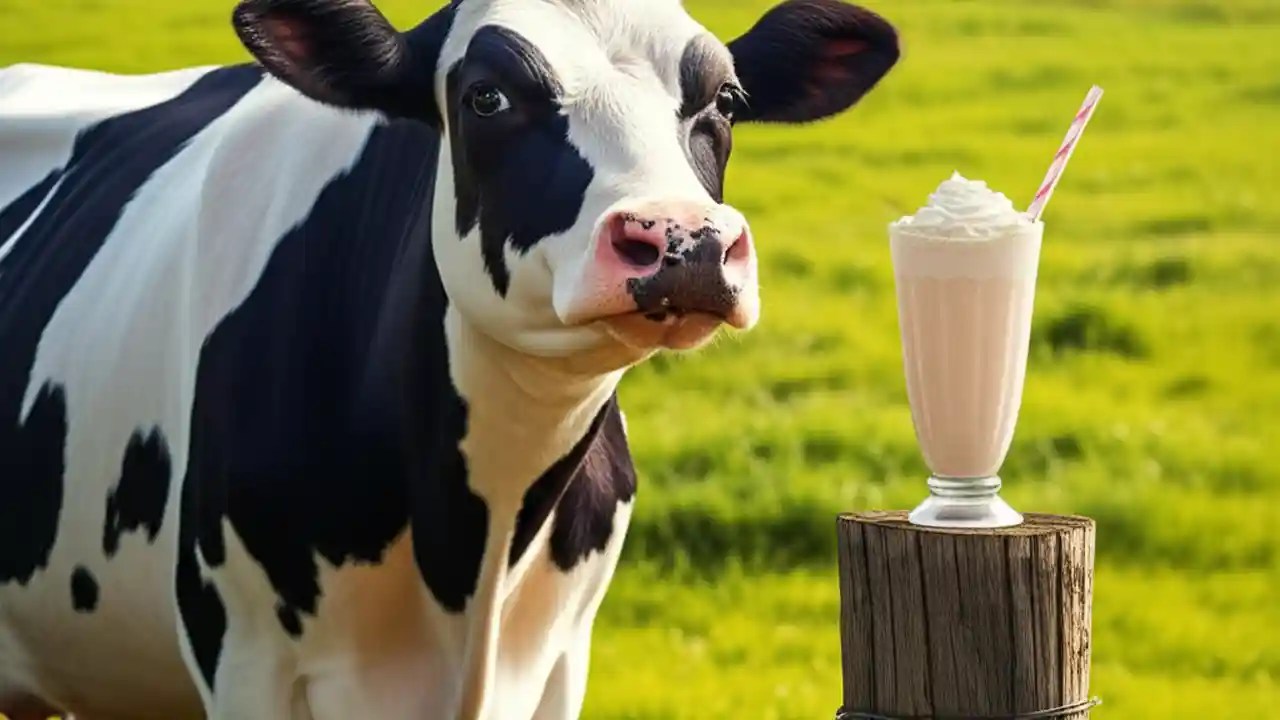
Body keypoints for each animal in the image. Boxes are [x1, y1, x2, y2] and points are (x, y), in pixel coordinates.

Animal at [0, 0, 898, 717]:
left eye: (725, 100)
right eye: (486, 96)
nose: (684, 240)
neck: (470, 553)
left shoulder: (557, 665)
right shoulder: (248, 661)